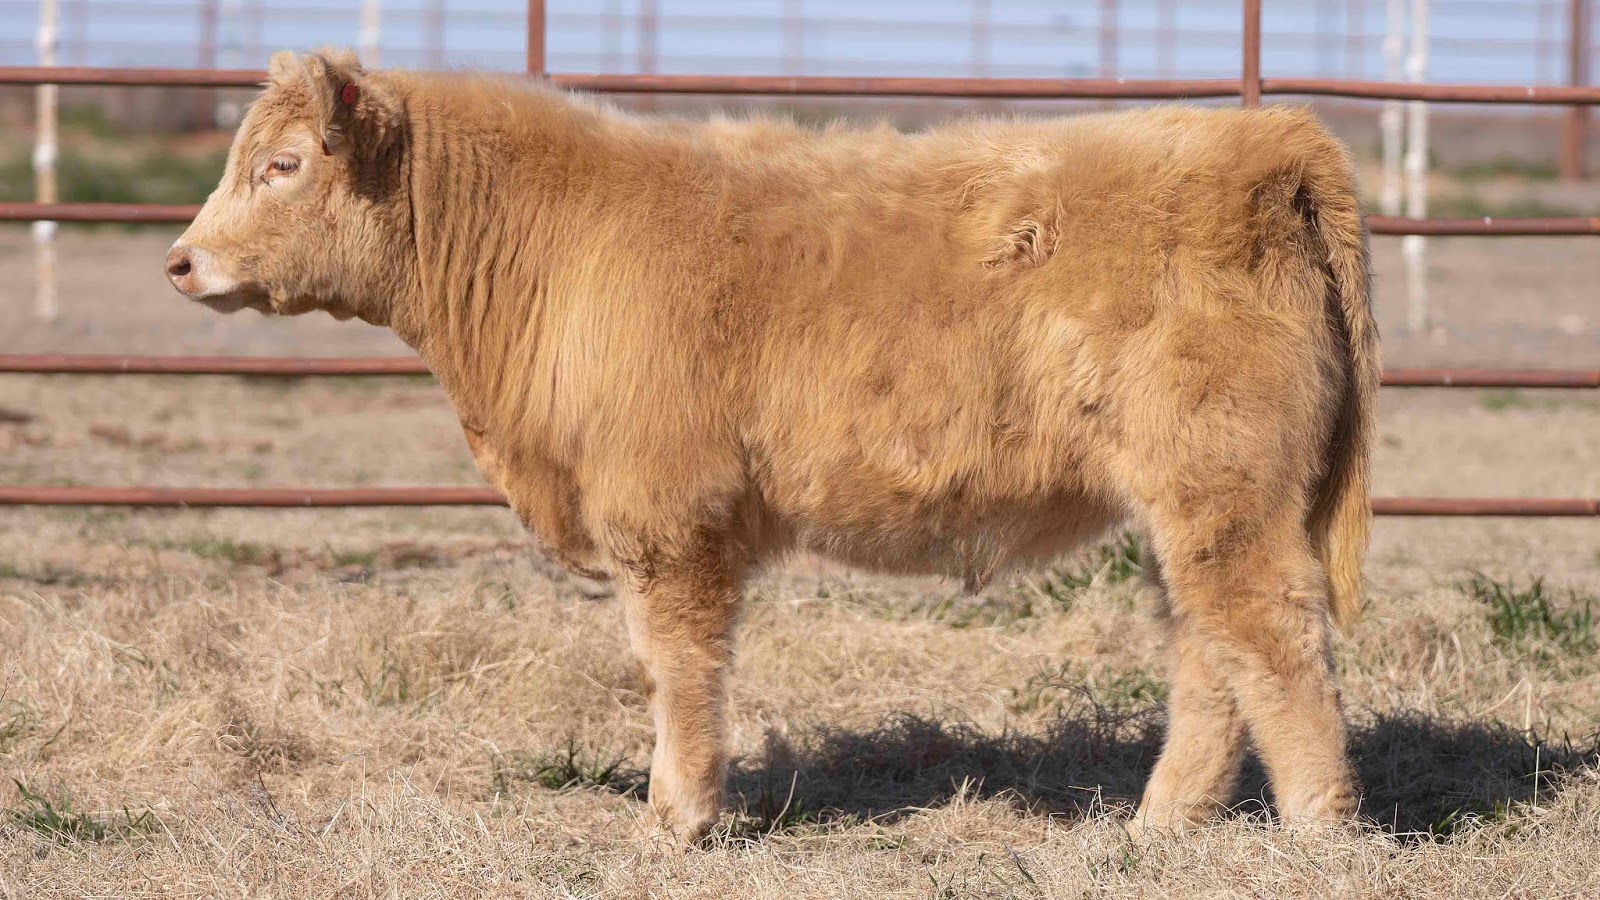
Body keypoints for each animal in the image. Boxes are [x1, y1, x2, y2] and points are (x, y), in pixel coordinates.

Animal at [167, 49, 1380, 840]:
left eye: (282, 165)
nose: (179, 261)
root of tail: (1264, 135)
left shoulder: (667, 516)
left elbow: (677, 664)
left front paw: (679, 817)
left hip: (1223, 490)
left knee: (1272, 638)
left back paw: (1317, 828)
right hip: (1195, 508)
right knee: (1209, 648)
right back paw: (1161, 824)